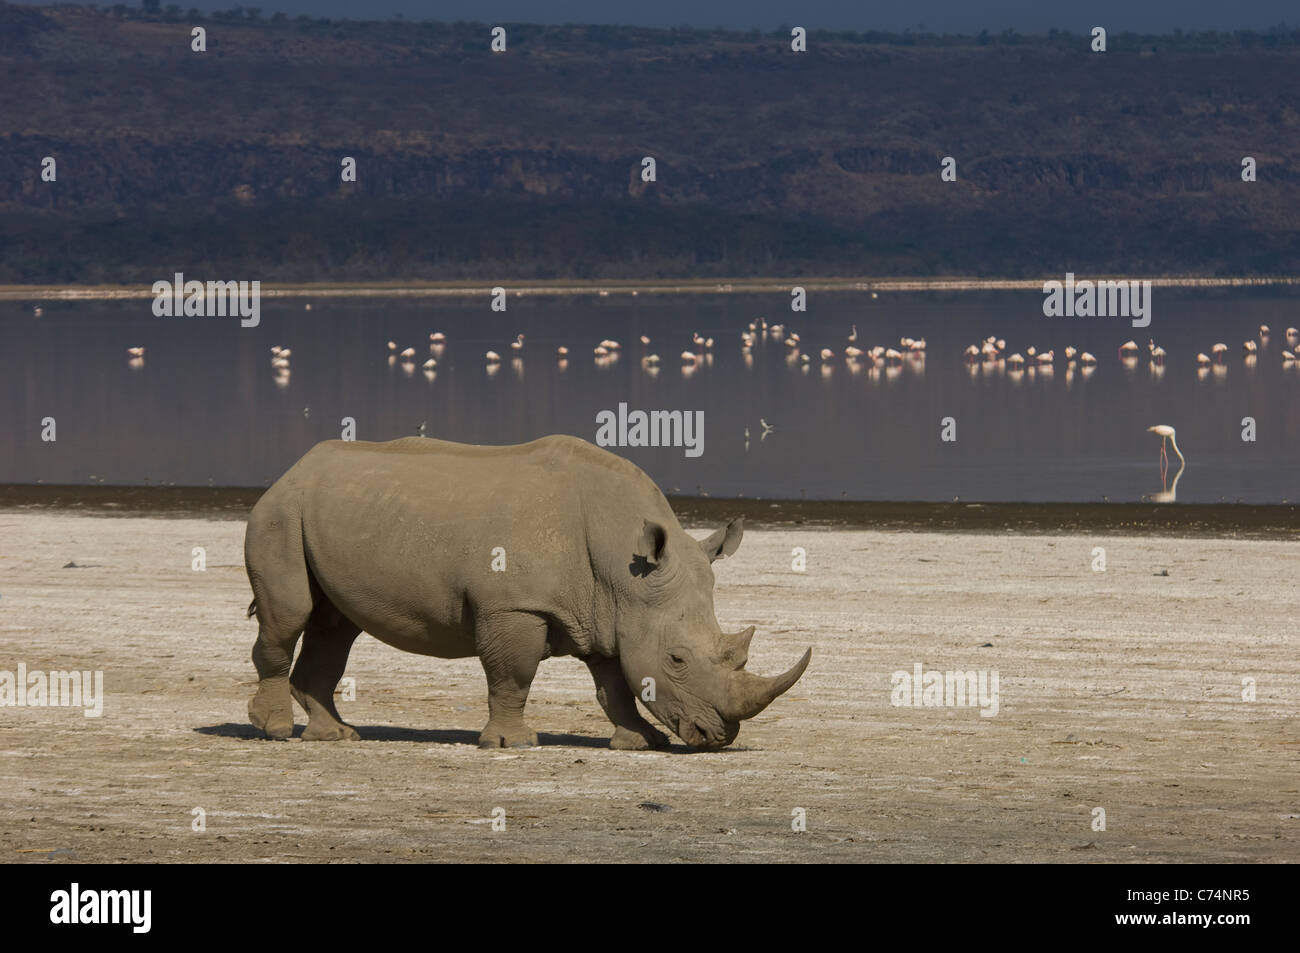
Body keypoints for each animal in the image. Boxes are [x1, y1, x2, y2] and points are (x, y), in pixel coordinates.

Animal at [244, 435, 810, 750]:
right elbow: (512, 675)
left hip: (330, 513)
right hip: (280, 513)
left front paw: (640, 743)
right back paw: (275, 732)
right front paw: (512, 744)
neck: (624, 570)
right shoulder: (513, 605)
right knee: (290, 616)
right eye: (676, 659)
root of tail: (292, 469)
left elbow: (615, 684)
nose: (718, 737)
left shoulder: (610, 610)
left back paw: (335, 736)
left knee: (335, 628)